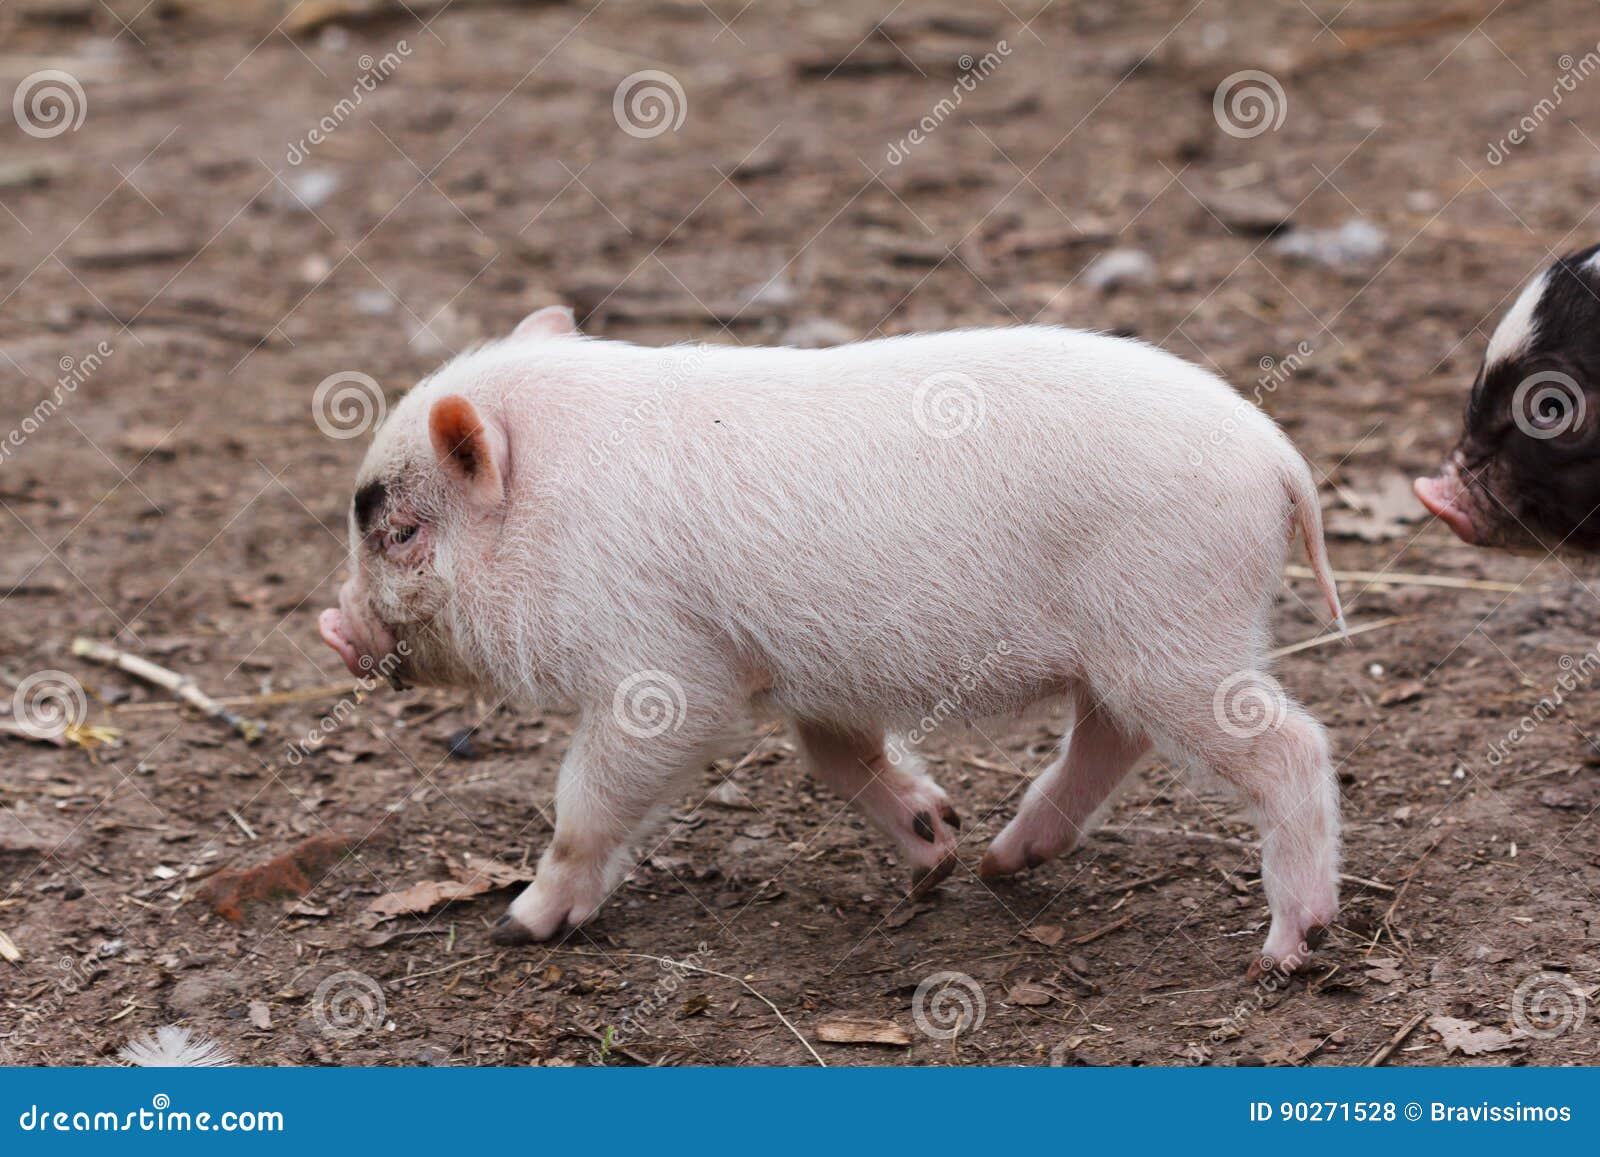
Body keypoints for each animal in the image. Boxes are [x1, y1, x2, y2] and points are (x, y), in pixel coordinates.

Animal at [318, 307, 1345, 976]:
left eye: (399, 531)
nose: (337, 627)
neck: (545, 511)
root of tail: (1277, 456)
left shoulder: (666, 670)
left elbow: (588, 796)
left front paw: (517, 927)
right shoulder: (805, 673)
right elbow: (834, 753)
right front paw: (934, 850)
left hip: (1175, 631)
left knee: (1292, 744)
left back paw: (1288, 951)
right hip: (1135, 646)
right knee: (1112, 735)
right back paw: (997, 862)